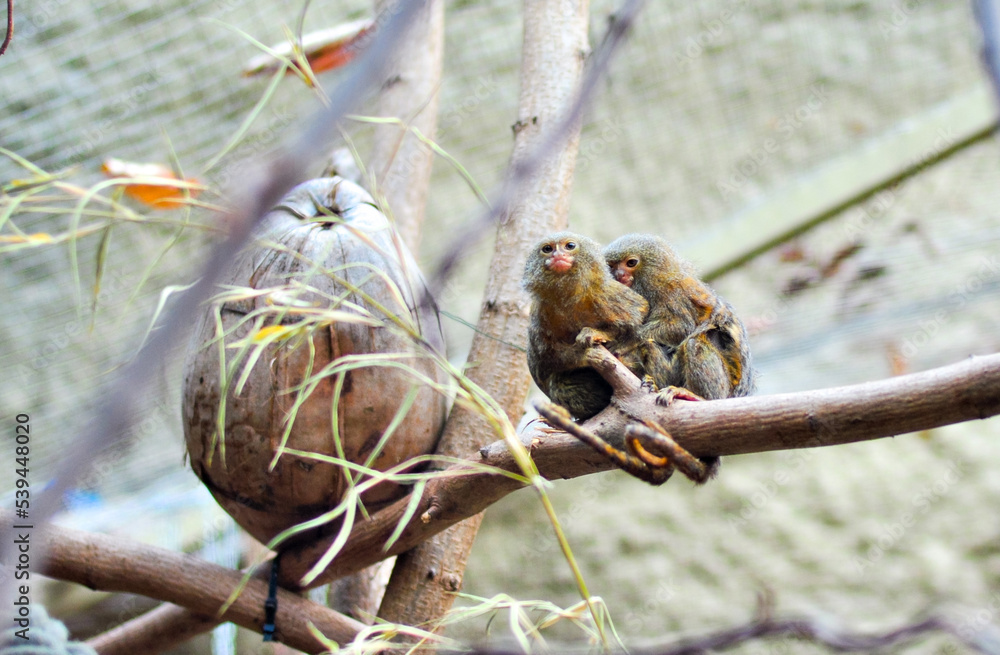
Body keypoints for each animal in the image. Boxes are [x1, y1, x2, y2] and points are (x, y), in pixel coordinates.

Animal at [523, 231, 649, 420]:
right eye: (547, 249)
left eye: (569, 246)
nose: (557, 255)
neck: (568, 294)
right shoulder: (540, 312)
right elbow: (546, 357)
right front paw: (585, 355)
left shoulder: (607, 293)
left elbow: (639, 314)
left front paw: (596, 333)